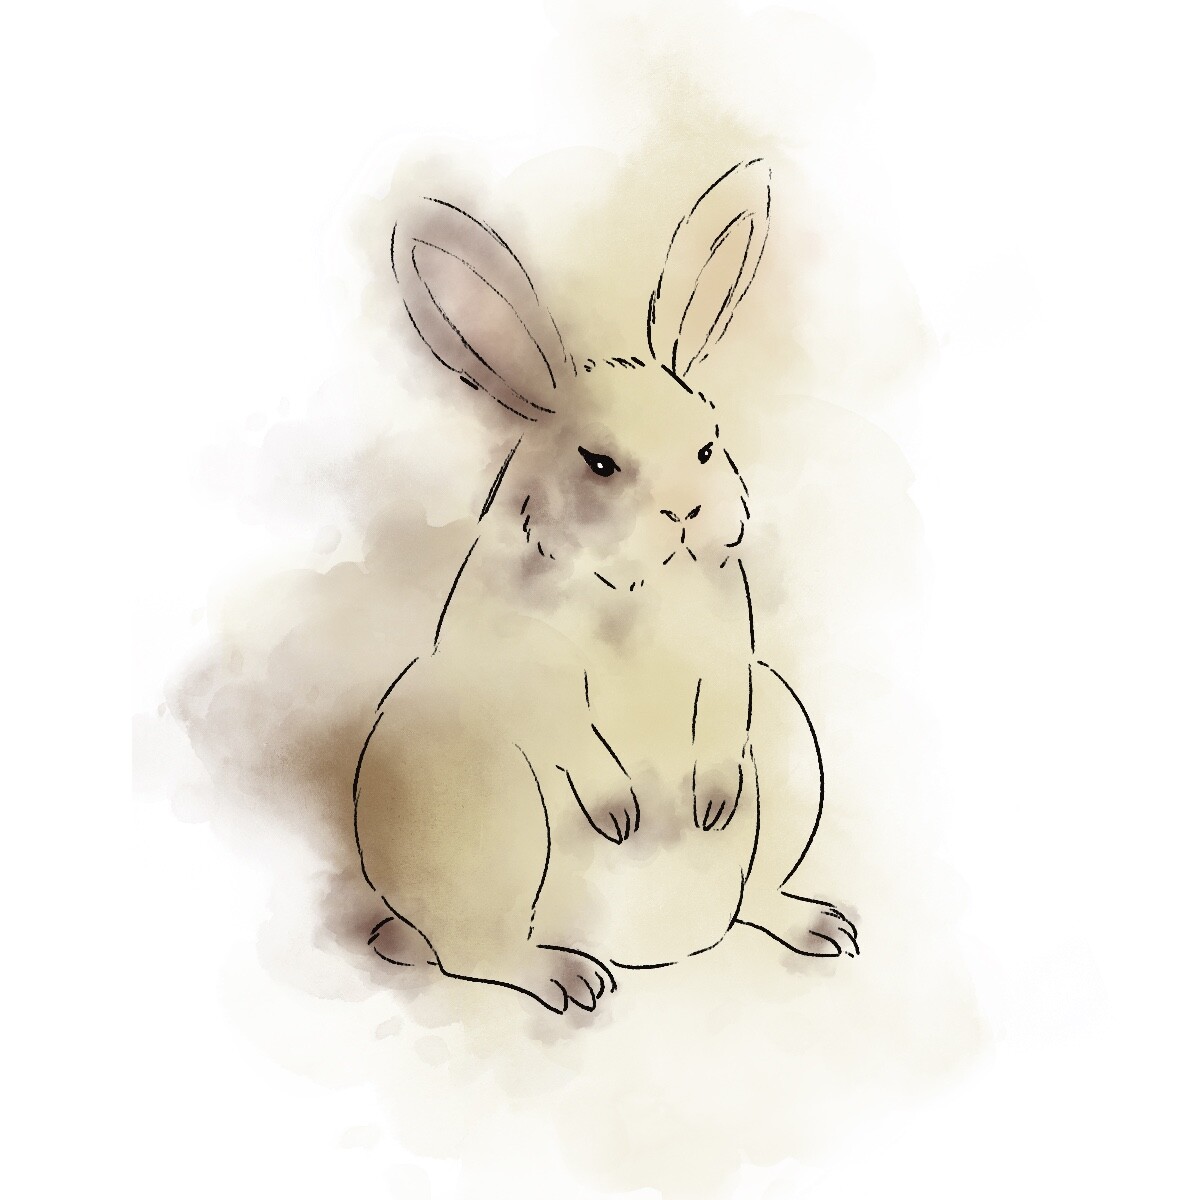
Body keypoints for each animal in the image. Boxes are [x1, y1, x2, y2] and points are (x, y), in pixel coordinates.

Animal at [353, 160, 859, 1014]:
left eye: (708, 444)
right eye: (598, 463)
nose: (686, 512)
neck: (637, 585)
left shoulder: (729, 644)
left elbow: (722, 705)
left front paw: (710, 802)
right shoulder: (531, 666)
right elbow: (568, 730)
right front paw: (623, 816)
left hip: (787, 754)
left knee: (754, 897)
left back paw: (821, 926)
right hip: (492, 825)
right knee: (475, 953)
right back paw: (569, 979)